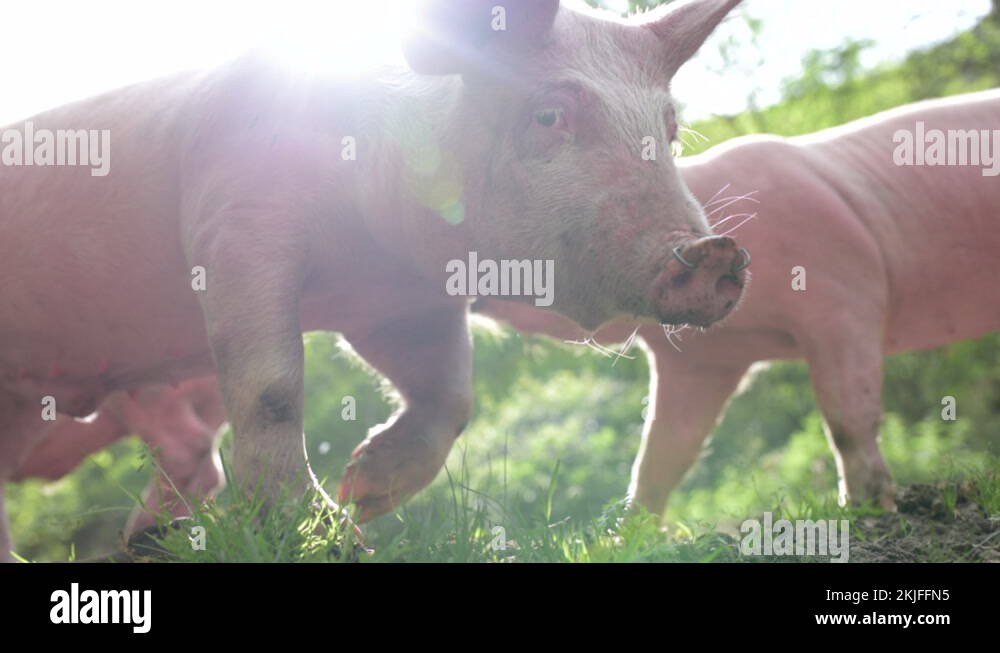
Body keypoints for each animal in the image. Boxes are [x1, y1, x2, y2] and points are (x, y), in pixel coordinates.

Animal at [0, 0, 748, 560]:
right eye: (549, 114)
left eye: (669, 128)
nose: (717, 251)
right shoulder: (232, 221)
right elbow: (271, 386)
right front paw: (324, 536)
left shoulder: (402, 306)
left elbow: (452, 399)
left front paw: (362, 490)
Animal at [478, 89, 1000, 515]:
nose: (712, 248)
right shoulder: (702, 359)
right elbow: (660, 457)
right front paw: (630, 534)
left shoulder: (847, 296)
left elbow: (847, 421)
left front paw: (867, 513)